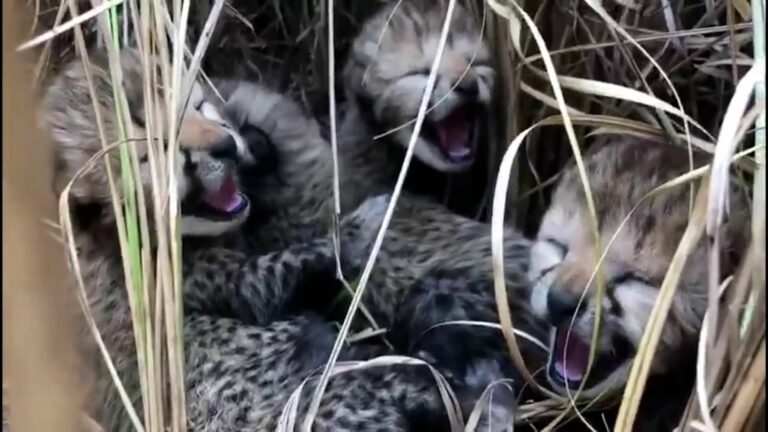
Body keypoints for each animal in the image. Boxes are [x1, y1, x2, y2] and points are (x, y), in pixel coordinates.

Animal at [42, 47, 461, 432]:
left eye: (197, 106)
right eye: (156, 152)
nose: (226, 147)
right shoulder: (204, 286)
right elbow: (279, 271)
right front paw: (364, 225)